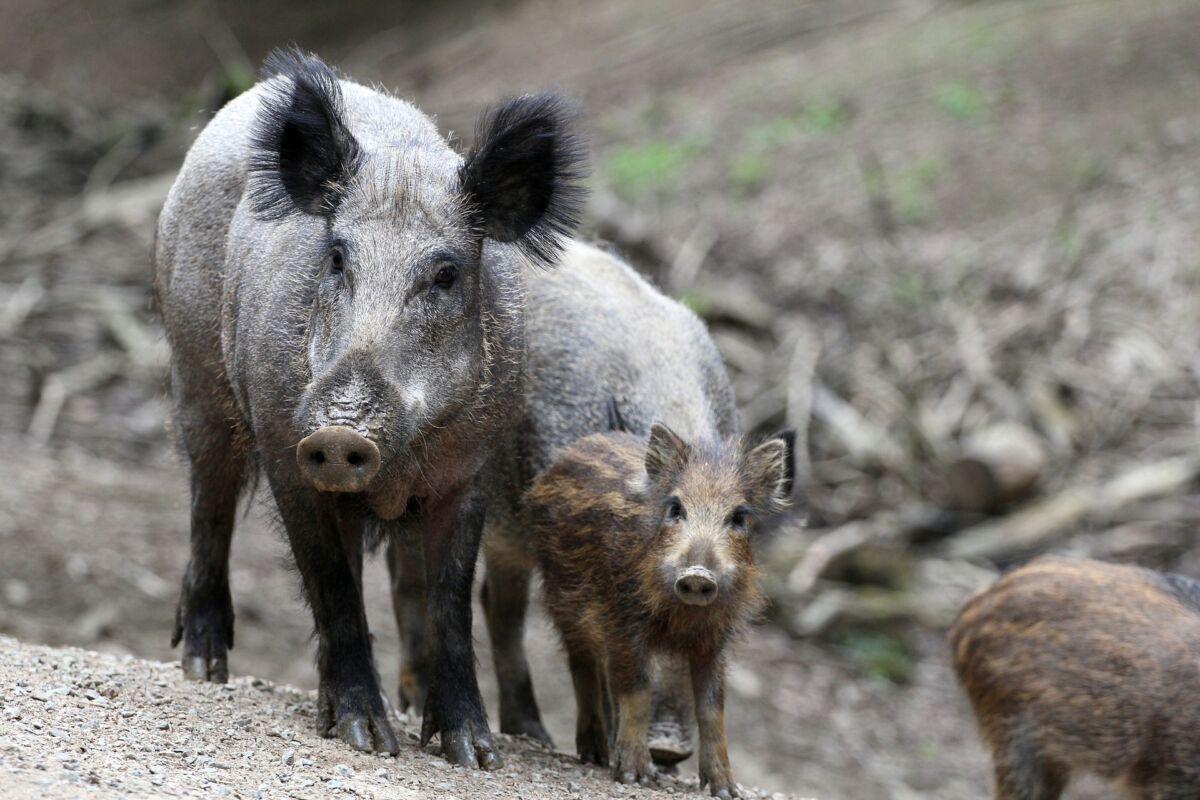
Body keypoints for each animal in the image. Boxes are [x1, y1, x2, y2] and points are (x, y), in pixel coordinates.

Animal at [154, 47, 586, 768]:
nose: (339, 433)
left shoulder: (472, 469)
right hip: (194, 372)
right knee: (208, 503)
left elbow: (450, 600)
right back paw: (204, 668)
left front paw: (473, 754)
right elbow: (331, 583)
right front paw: (367, 740)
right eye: (336, 257)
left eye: (445, 274)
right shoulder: (286, 448)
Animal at [523, 421, 794, 797]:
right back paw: (596, 754)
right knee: (582, 665)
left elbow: (712, 709)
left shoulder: (715, 639)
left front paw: (726, 789)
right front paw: (634, 775)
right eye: (676, 508)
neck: (683, 618)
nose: (697, 575)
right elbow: (638, 692)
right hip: (561, 597)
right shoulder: (623, 622)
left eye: (739, 516)